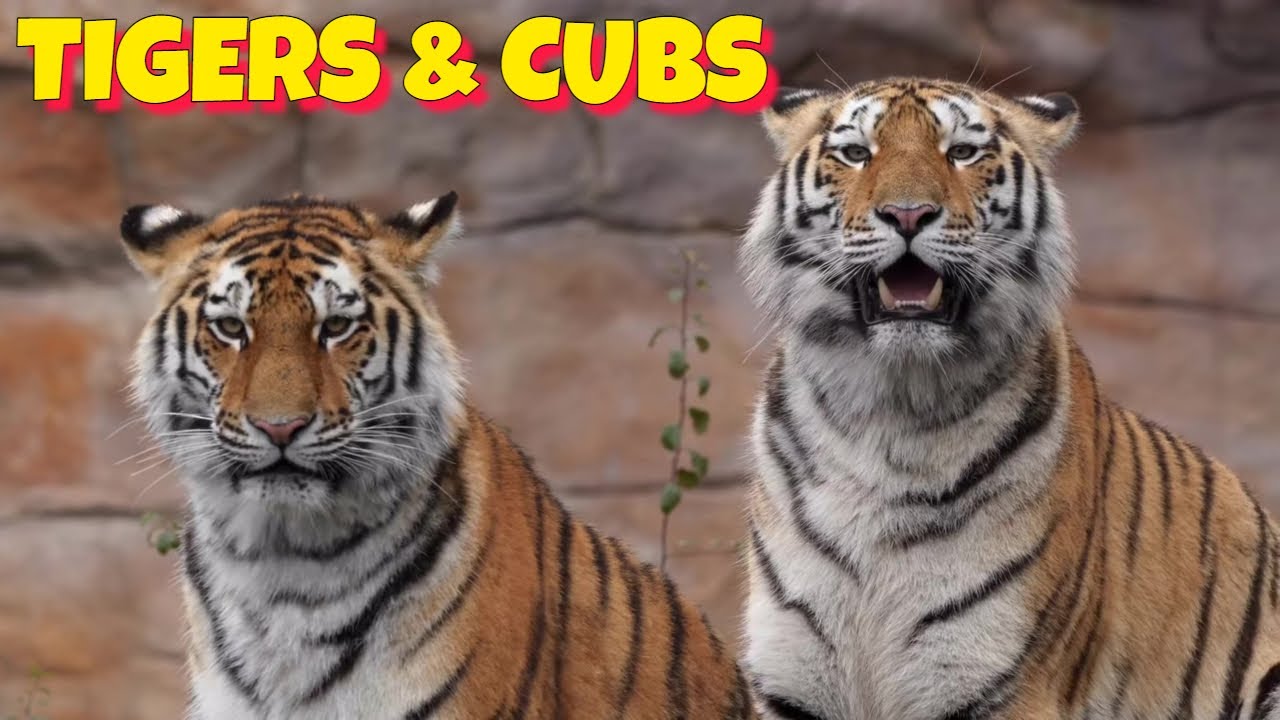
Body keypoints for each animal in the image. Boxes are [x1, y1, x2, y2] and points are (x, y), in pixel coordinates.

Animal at [735, 77, 1280, 719]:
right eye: (856, 154)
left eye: (962, 153)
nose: (907, 214)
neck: (888, 406)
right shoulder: (792, 676)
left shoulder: (1000, 677)